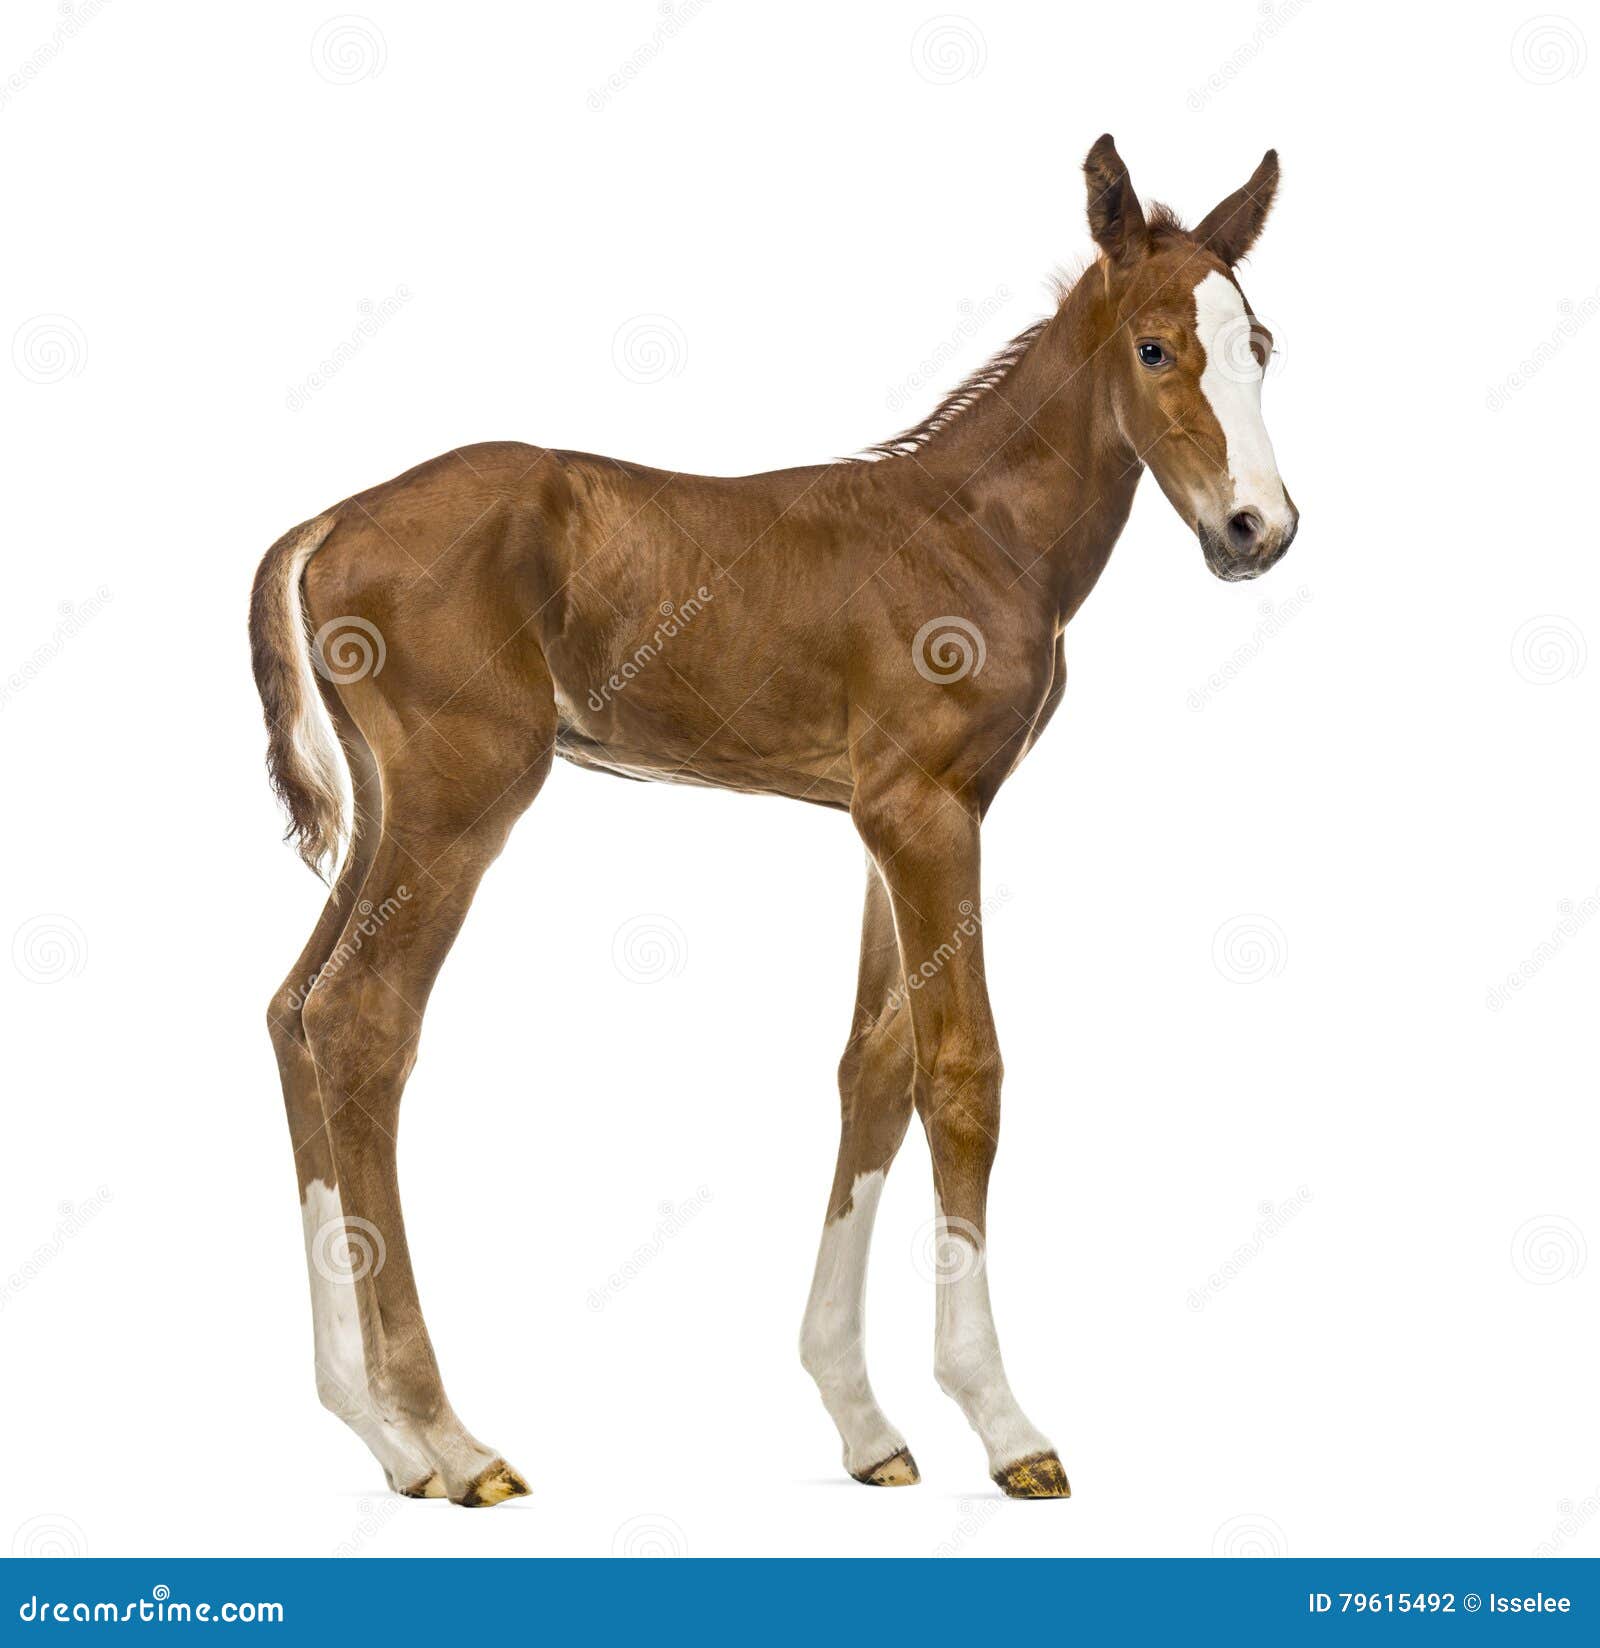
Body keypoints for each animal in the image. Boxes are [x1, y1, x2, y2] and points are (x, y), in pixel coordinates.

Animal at [250, 135, 1297, 1507]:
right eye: (1155, 347)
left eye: (1259, 343)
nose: (1257, 529)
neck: (975, 532)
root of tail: (323, 524)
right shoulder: (926, 813)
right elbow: (962, 1074)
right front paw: (1004, 1421)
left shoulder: (892, 817)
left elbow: (873, 1069)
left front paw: (863, 1419)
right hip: (462, 798)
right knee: (362, 1025)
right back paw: (450, 1437)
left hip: (386, 810)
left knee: (293, 1011)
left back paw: (375, 1430)